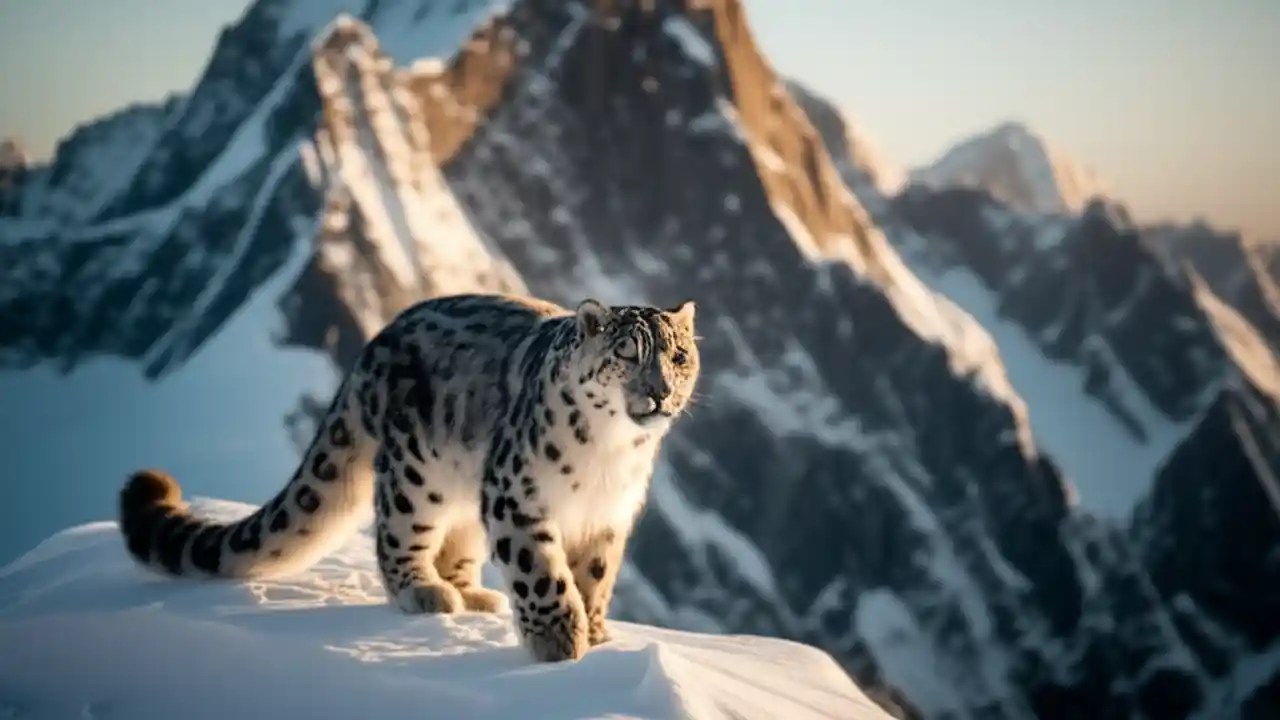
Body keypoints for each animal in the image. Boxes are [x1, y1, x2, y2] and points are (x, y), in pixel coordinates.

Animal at [118, 293, 700, 662]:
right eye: (625, 353)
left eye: (679, 355)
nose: (661, 392)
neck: (610, 456)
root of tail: (374, 344)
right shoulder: (518, 494)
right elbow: (541, 571)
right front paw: (558, 642)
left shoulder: (607, 518)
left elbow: (594, 578)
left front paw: (597, 634)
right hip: (419, 471)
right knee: (397, 536)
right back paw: (425, 591)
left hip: (465, 488)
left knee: (457, 543)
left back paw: (472, 594)